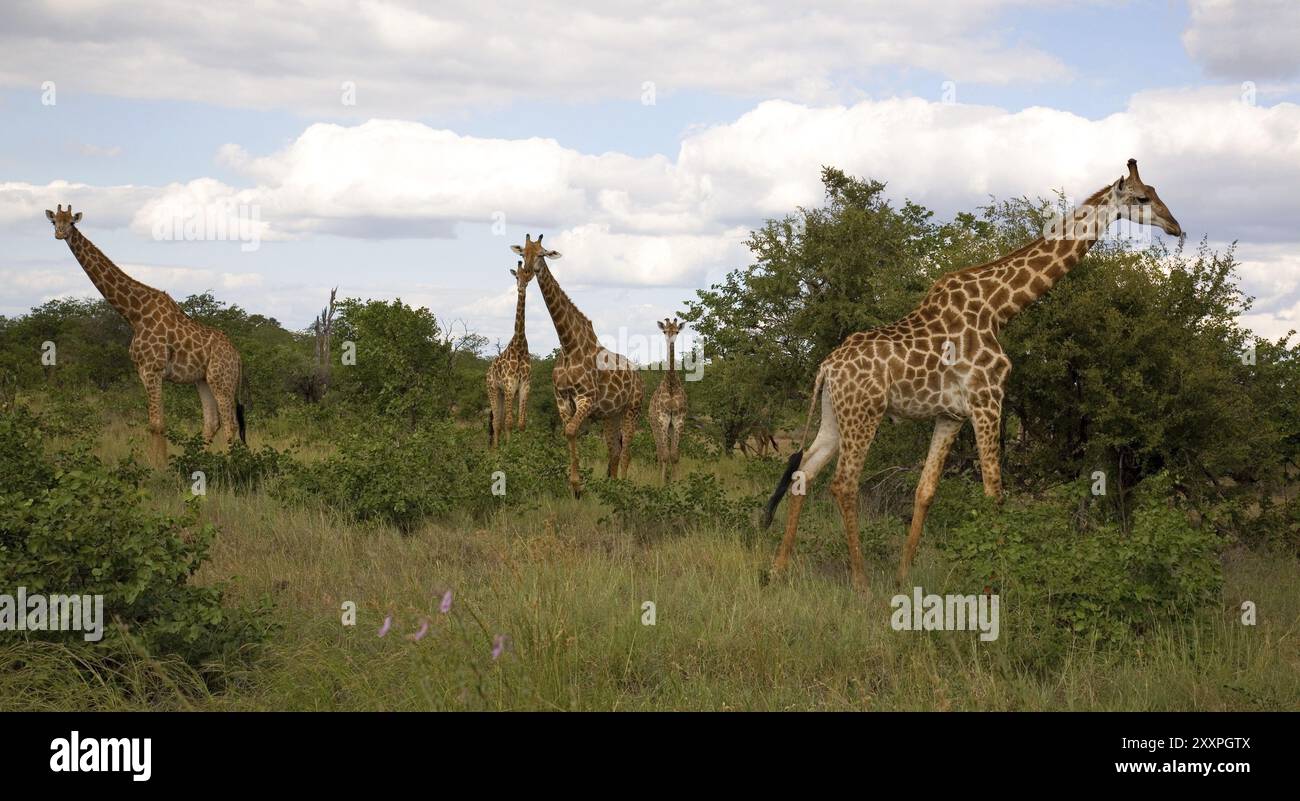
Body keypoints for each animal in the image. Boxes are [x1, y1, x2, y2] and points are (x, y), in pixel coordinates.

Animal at [46, 205, 248, 465]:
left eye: (71, 222)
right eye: (54, 222)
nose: (60, 233)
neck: (135, 314)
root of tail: (238, 357)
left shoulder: (153, 369)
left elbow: (157, 424)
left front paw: (159, 468)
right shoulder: (143, 371)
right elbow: (155, 423)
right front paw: (159, 464)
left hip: (222, 379)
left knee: (231, 424)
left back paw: (232, 466)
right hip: (203, 380)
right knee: (212, 422)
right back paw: (200, 463)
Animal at [485, 260, 535, 448]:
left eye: (527, 277)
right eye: (516, 277)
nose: (521, 288)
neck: (519, 346)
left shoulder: (524, 386)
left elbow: (521, 423)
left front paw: (520, 450)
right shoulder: (508, 385)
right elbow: (509, 422)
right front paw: (508, 450)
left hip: (503, 393)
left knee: (498, 420)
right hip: (493, 389)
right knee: (496, 422)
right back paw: (495, 450)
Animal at [510, 233, 644, 497]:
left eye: (541, 253)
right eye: (523, 254)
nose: (528, 272)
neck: (568, 346)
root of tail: (639, 375)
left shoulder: (586, 397)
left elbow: (572, 431)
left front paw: (577, 485)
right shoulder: (562, 398)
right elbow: (568, 432)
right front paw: (575, 486)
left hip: (631, 409)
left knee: (627, 447)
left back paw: (623, 487)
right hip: (611, 414)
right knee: (614, 448)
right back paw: (611, 486)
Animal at [762, 160, 1182, 591]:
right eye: (1142, 198)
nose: (1176, 226)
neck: (998, 308)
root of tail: (826, 367)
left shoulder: (951, 415)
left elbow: (925, 490)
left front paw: (903, 577)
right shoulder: (988, 400)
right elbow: (994, 493)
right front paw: (995, 583)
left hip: (835, 414)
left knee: (804, 472)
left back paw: (778, 568)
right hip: (864, 413)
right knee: (843, 483)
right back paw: (860, 580)